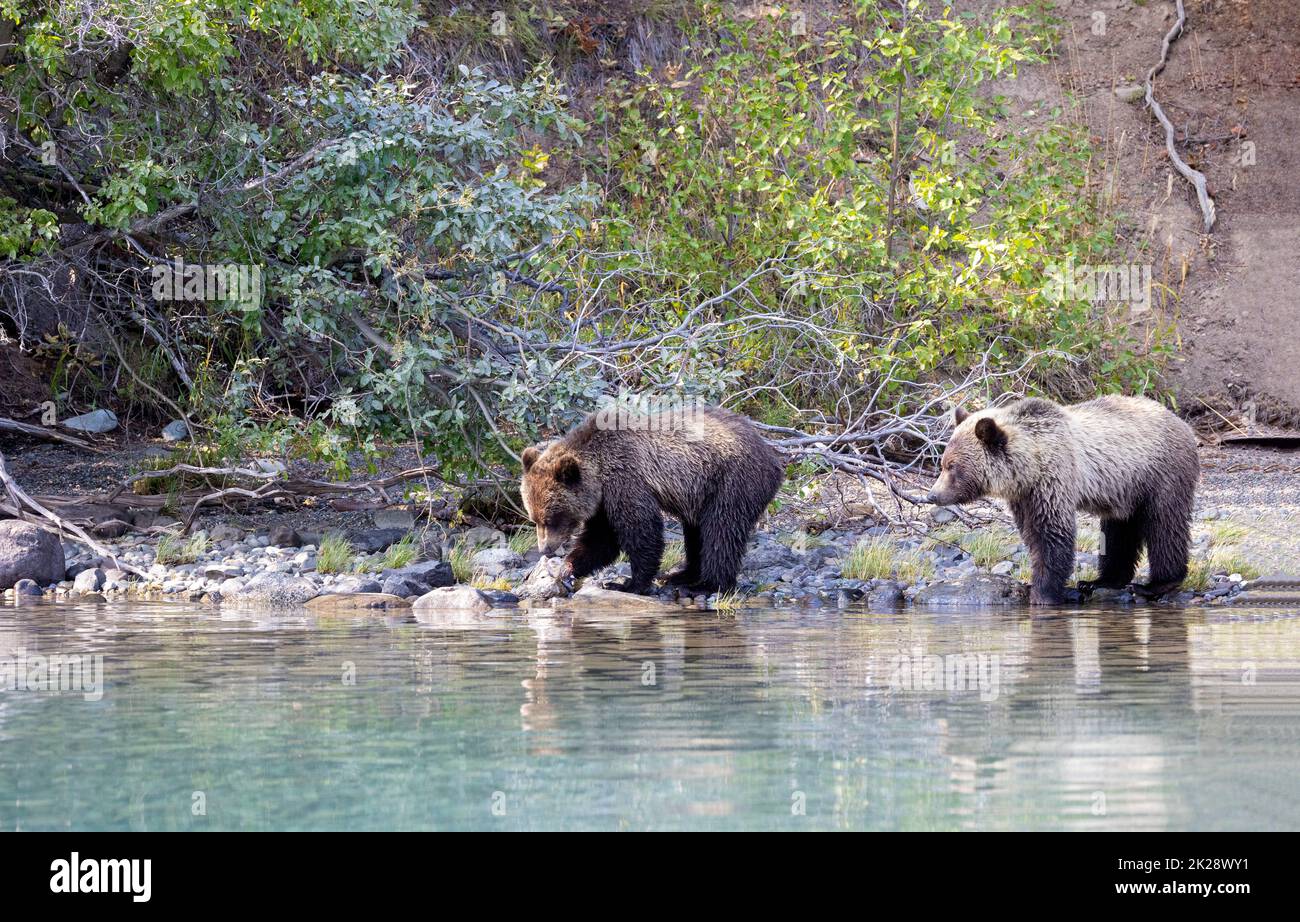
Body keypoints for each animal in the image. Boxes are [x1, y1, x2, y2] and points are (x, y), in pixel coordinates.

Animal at [520, 405, 785, 595]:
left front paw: (628, 583)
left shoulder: (626, 480)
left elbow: (642, 530)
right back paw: (683, 575)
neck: (599, 471)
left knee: (722, 530)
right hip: (702, 493)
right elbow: (601, 540)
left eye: (552, 518)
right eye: (535, 519)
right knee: (696, 531)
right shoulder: (603, 503)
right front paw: (567, 570)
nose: (545, 550)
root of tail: (772, 456)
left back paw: (707, 584)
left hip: (732, 481)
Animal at [926, 395, 1199, 605]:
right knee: (1118, 531)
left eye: (952, 466)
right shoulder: (1024, 496)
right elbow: (1032, 536)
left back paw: (1156, 584)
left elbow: (1051, 535)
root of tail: (1182, 423)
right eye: (943, 463)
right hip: (1125, 488)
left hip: (1160, 474)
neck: (1029, 466)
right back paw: (1099, 581)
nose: (932, 495)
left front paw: (1043, 593)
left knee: (1164, 525)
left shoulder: (1054, 479)